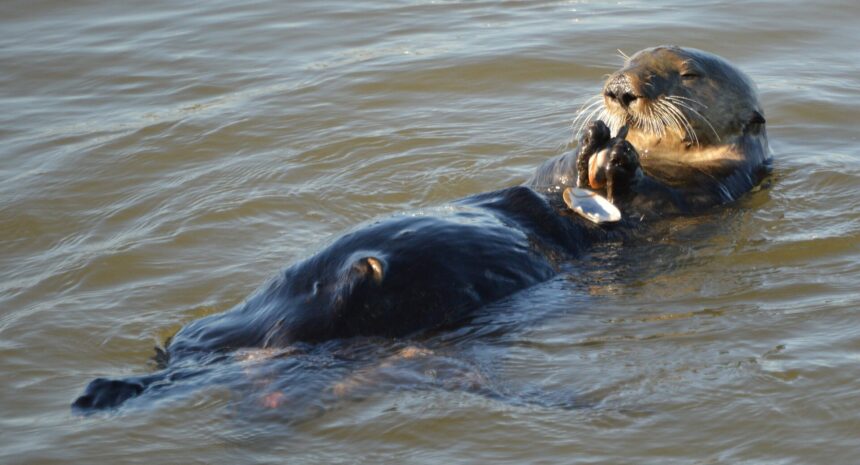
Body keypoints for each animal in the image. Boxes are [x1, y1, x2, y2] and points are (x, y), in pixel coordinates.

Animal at [73, 46, 771, 412]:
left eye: (686, 74)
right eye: (629, 60)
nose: (619, 90)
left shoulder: (711, 193)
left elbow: (655, 198)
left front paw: (615, 163)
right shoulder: (551, 170)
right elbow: (551, 173)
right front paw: (591, 143)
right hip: (226, 324)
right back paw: (116, 385)